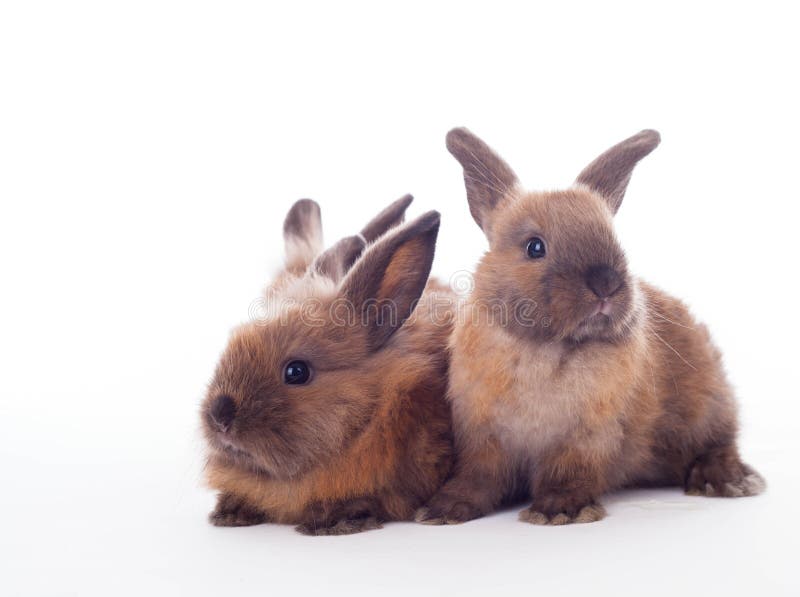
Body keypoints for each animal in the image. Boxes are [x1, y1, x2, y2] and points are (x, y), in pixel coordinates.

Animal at [416, 128, 765, 526]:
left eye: (613, 238)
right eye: (534, 247)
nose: (606, 284)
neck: (548, 348)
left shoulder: (587, 439)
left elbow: (569, 473)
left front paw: (559, 511)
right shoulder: (483, 437)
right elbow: (478, 477)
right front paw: (443, 510)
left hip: (709, 408)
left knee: (719, 443)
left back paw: (727, 481)